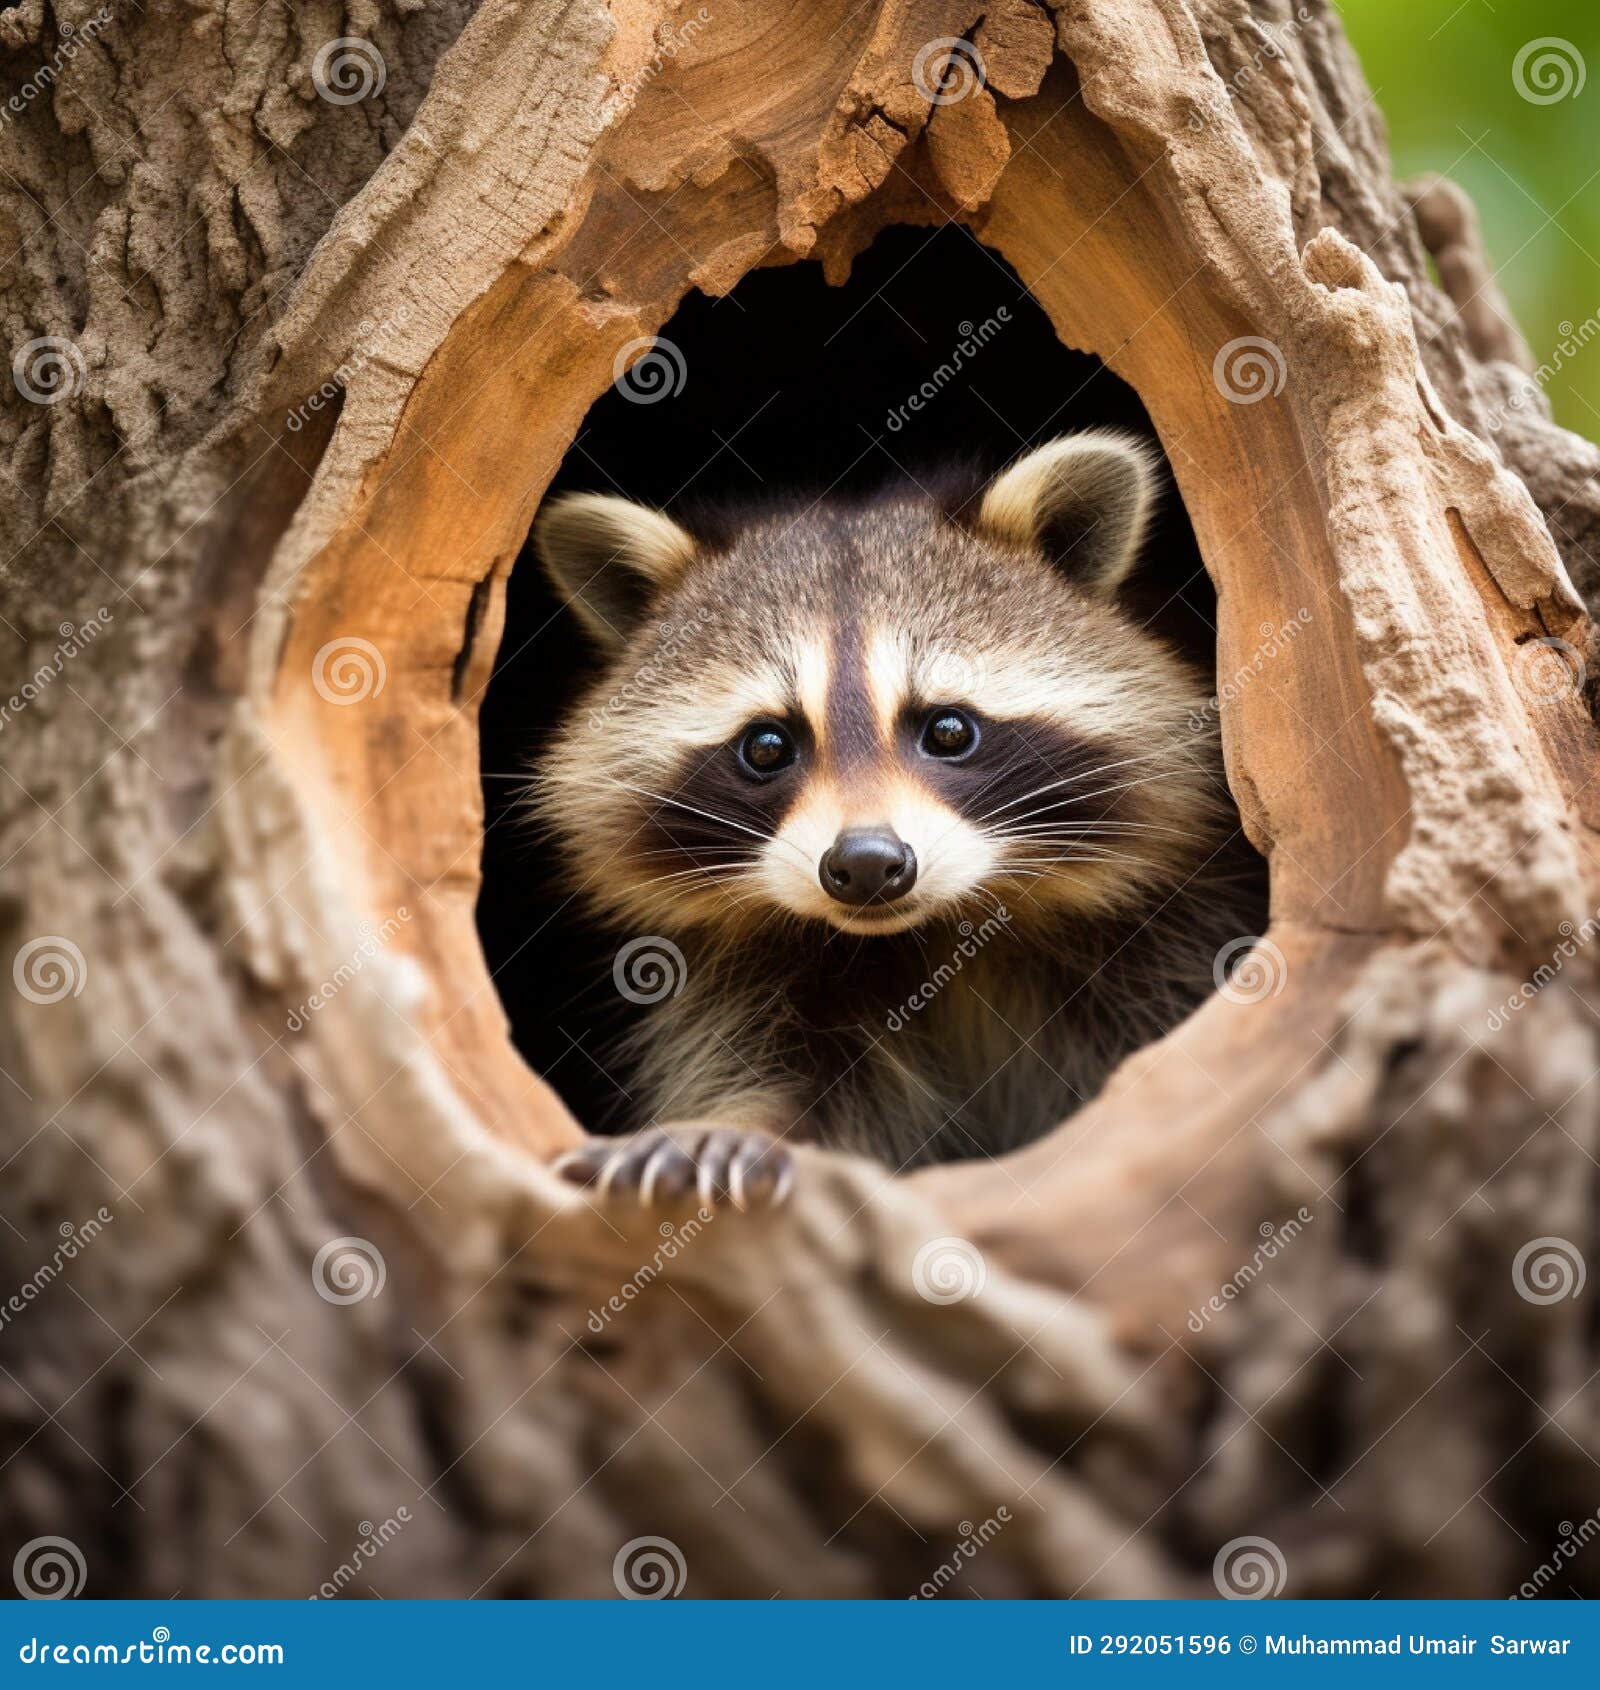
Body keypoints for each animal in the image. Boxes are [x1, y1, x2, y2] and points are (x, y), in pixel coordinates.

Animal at [531, 433, 1264, 1207]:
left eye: (948, 730)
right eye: (767, 746)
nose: (866, 865)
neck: (942, 928)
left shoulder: (1173, 927)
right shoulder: (747, 976)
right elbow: (784, 1077)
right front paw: (735, 1127)